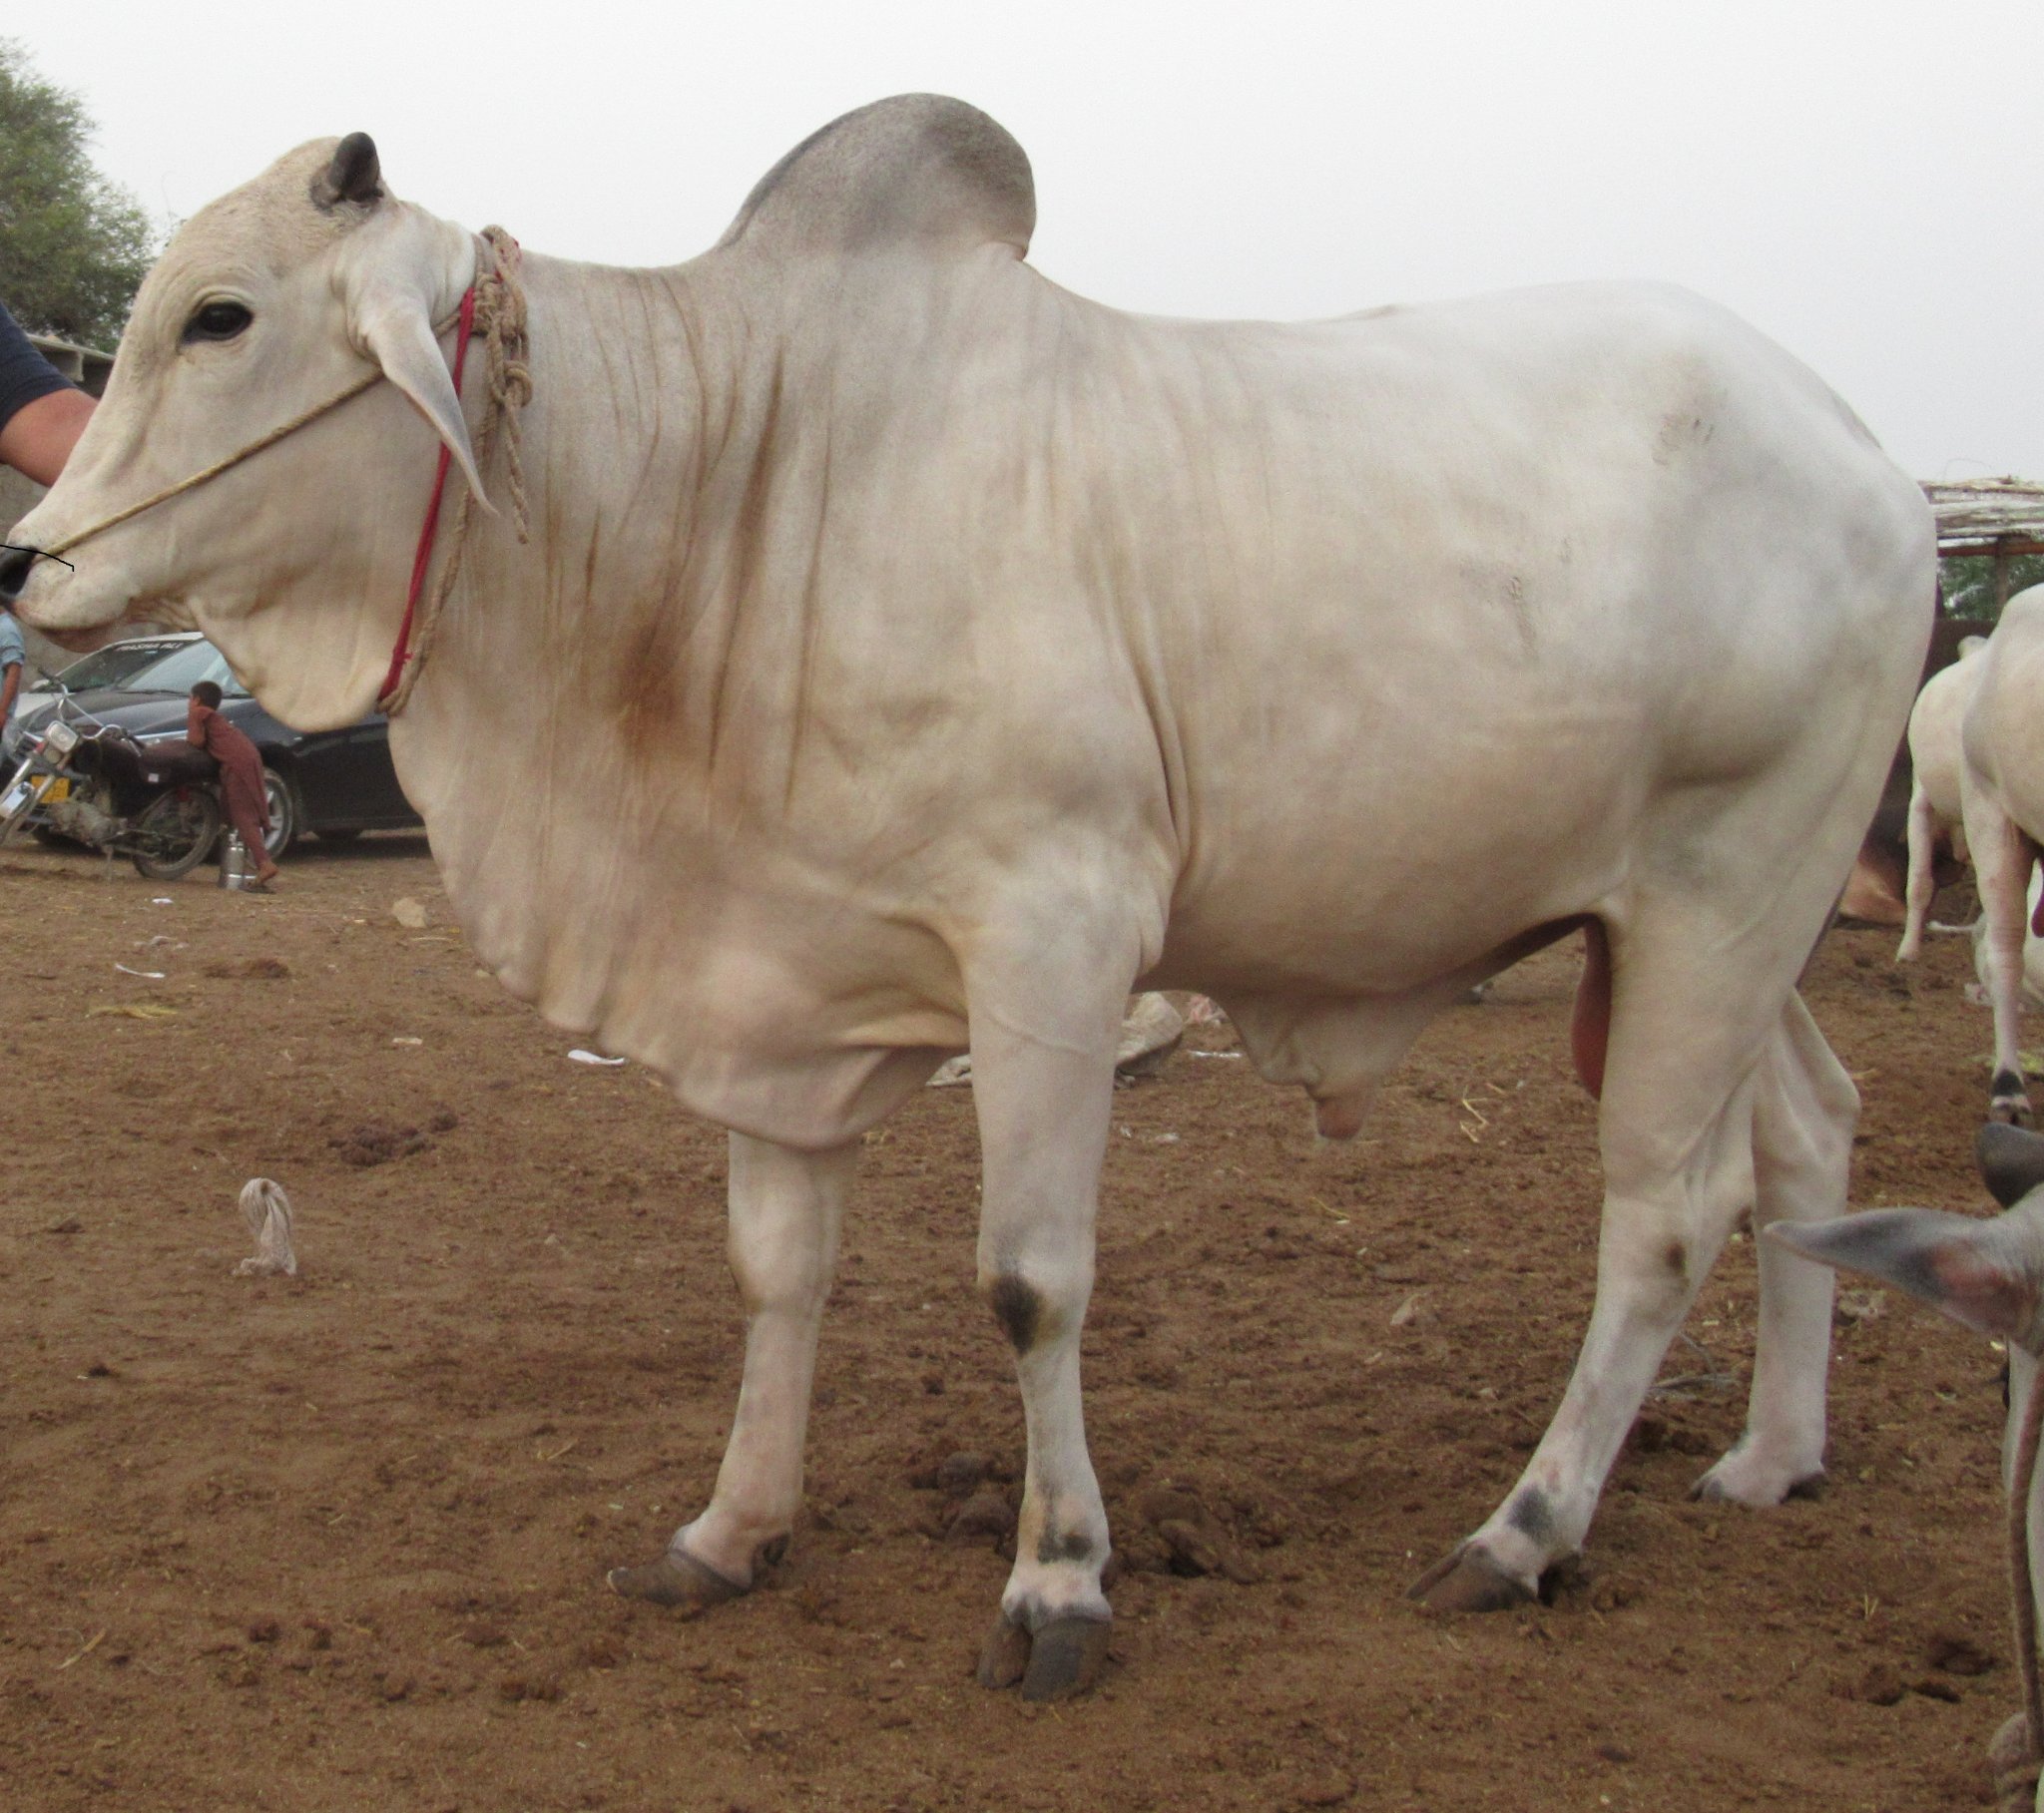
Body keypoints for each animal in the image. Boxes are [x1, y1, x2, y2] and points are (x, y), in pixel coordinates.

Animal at [2, 97, 1934, 1700]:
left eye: (222, 317)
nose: (34, 562)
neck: (723, 484)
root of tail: (1867, 451)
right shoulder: (764, 974)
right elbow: (775, 1269)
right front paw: (731, 1530)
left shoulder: (1055, 940)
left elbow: (1031, 1281)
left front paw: (1058, 1580)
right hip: (1702, 923)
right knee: (1810, 1134)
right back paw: (1771, 1456)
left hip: (1725, 890)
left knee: (1664, 1213)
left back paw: (1521, 1531)